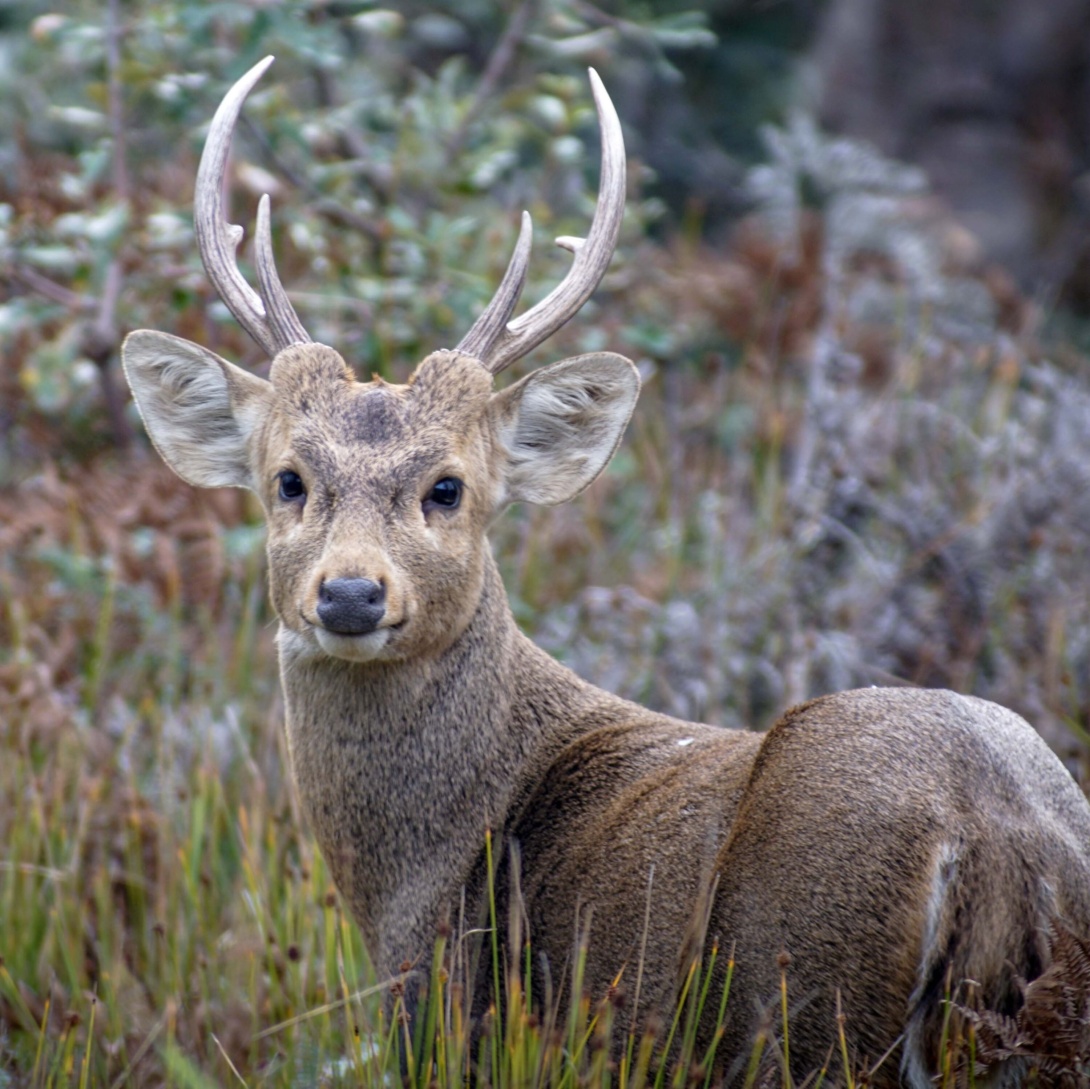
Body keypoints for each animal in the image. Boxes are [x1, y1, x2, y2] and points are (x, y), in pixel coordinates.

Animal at [122, 57, 1090, 1085]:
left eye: (447, 487)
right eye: (288, 480)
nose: (350, 591)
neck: (418, 877)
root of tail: (996, 834)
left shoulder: (449, 1028)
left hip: (805, 1003)